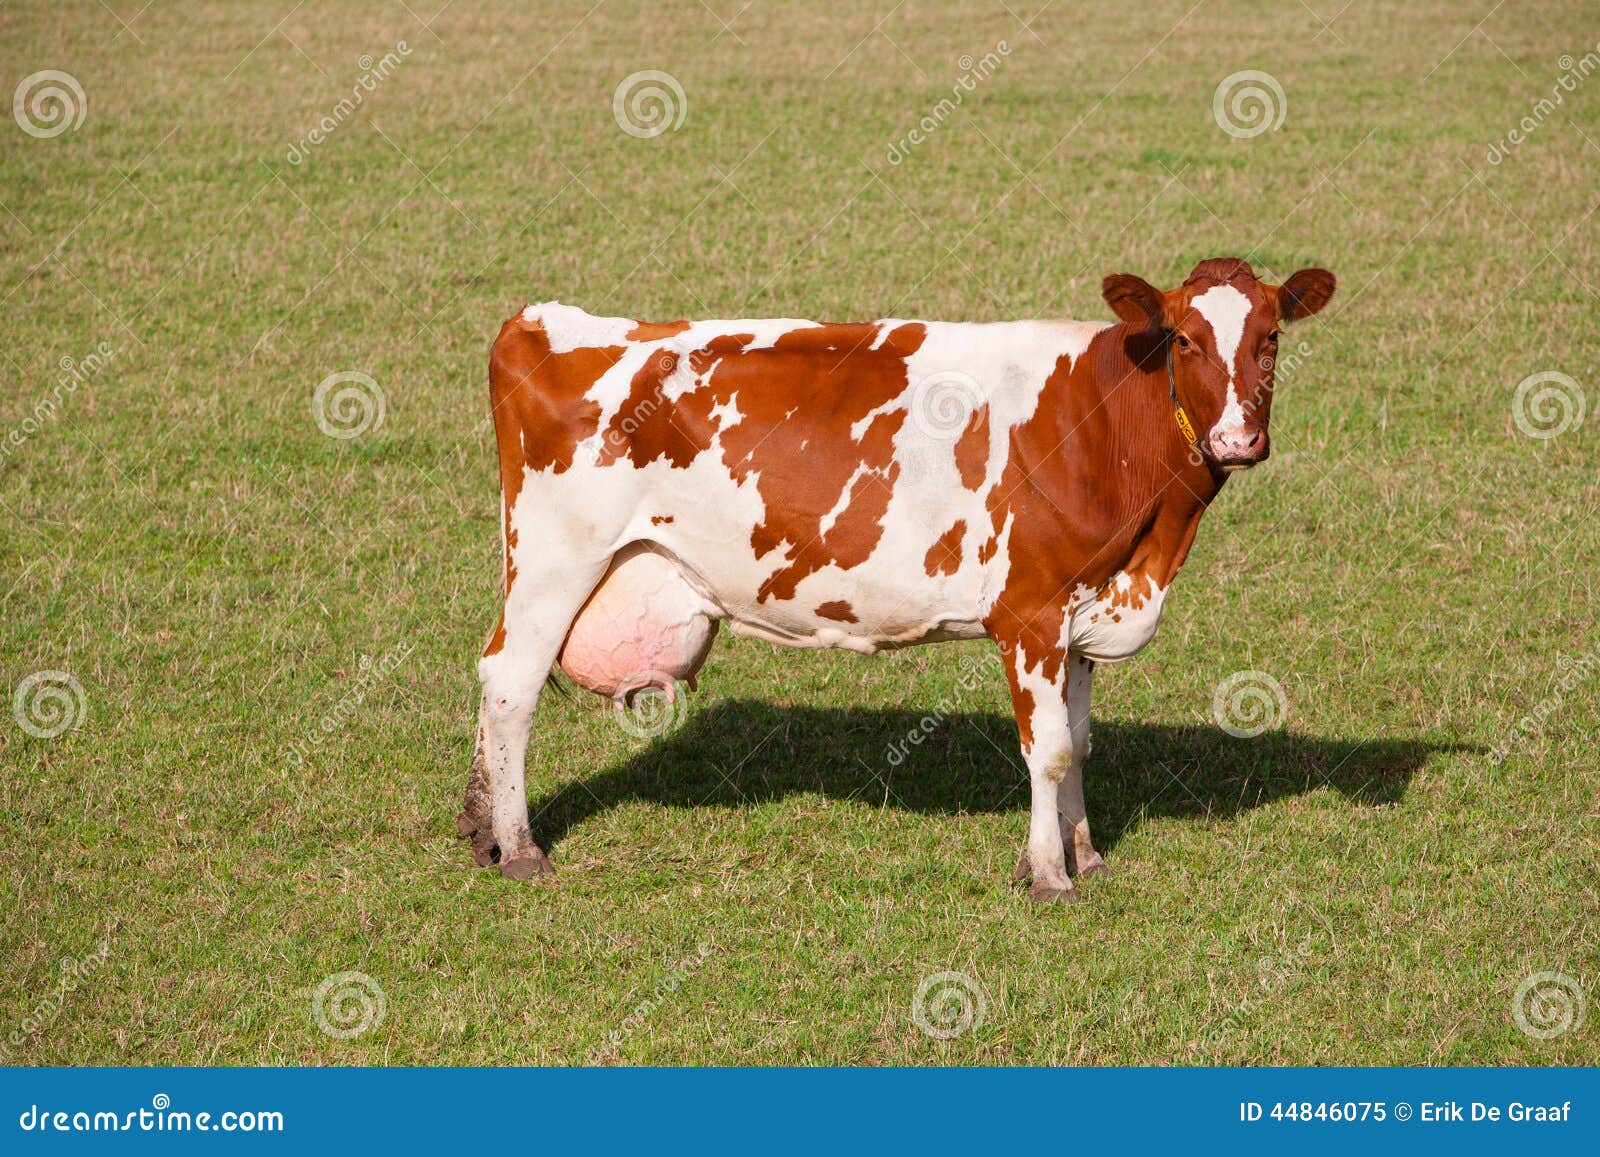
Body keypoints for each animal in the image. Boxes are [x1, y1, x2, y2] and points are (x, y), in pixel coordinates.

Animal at [458, 257, 1336, 902]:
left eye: (1271, 337)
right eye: (1185, 338)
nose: (1237, 439)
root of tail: (545, 322)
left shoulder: (1082, 615)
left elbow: (1081, 740)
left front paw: (1084, 851)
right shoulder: (1030, 613)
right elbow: (1048, 749)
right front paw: (1048, 873)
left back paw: (482, 825)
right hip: (556, 561)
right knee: (511, 683)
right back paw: (522, 845)